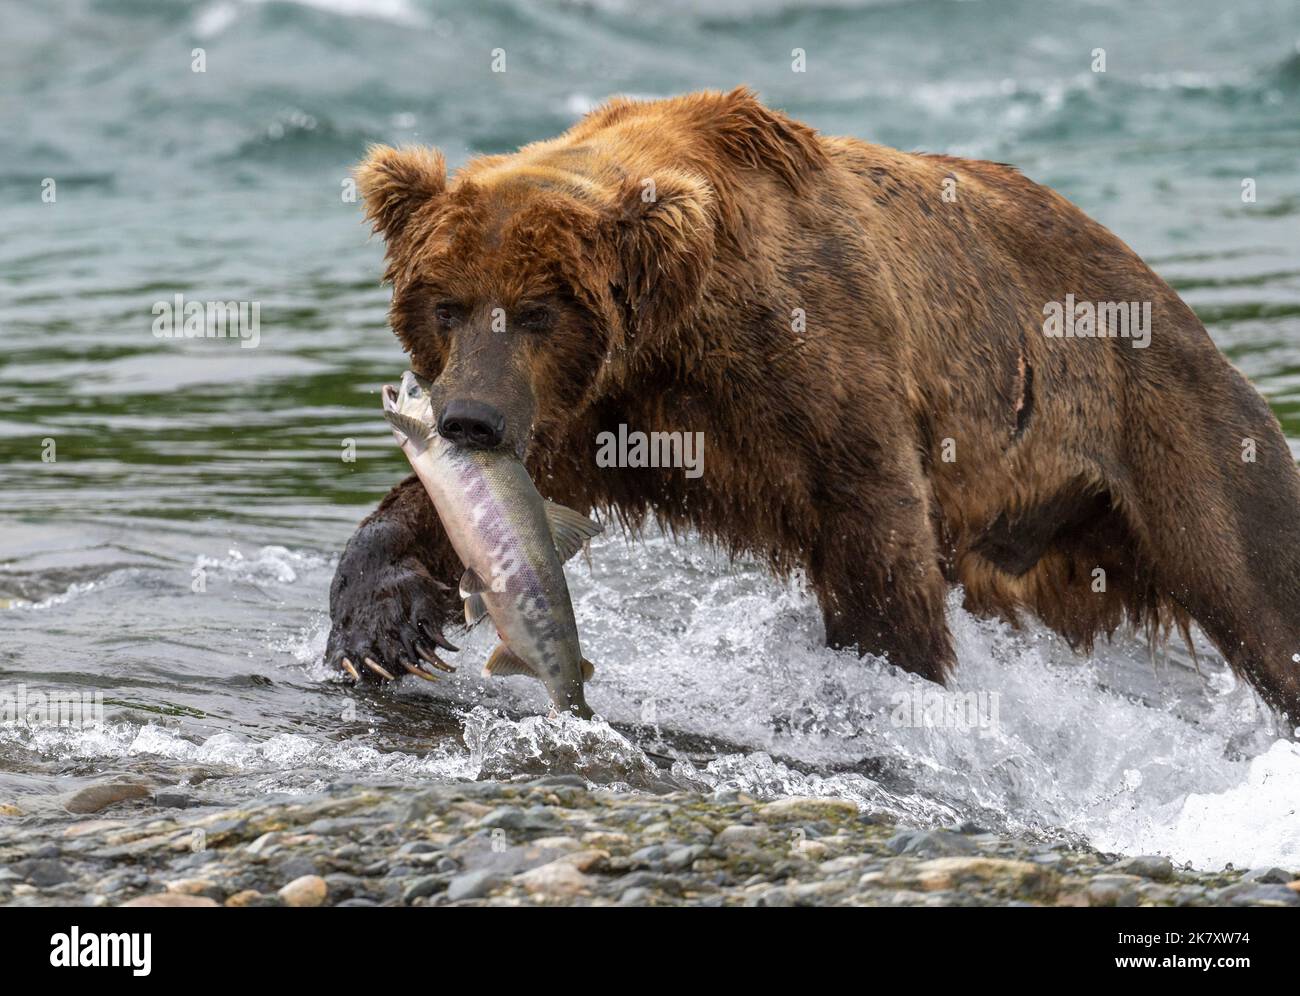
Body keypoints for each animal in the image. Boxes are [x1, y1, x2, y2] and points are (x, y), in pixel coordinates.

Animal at [327, 86, 1300, 720]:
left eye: (537, 309)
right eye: (446, 303)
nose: (470, 420)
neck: (678, 327)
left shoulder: (814, 364)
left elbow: (875, 537)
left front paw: (888, 664)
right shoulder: (599, 413)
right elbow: (473, 504)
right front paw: (381, 622)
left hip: (1172, 428)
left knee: (1259, 586)